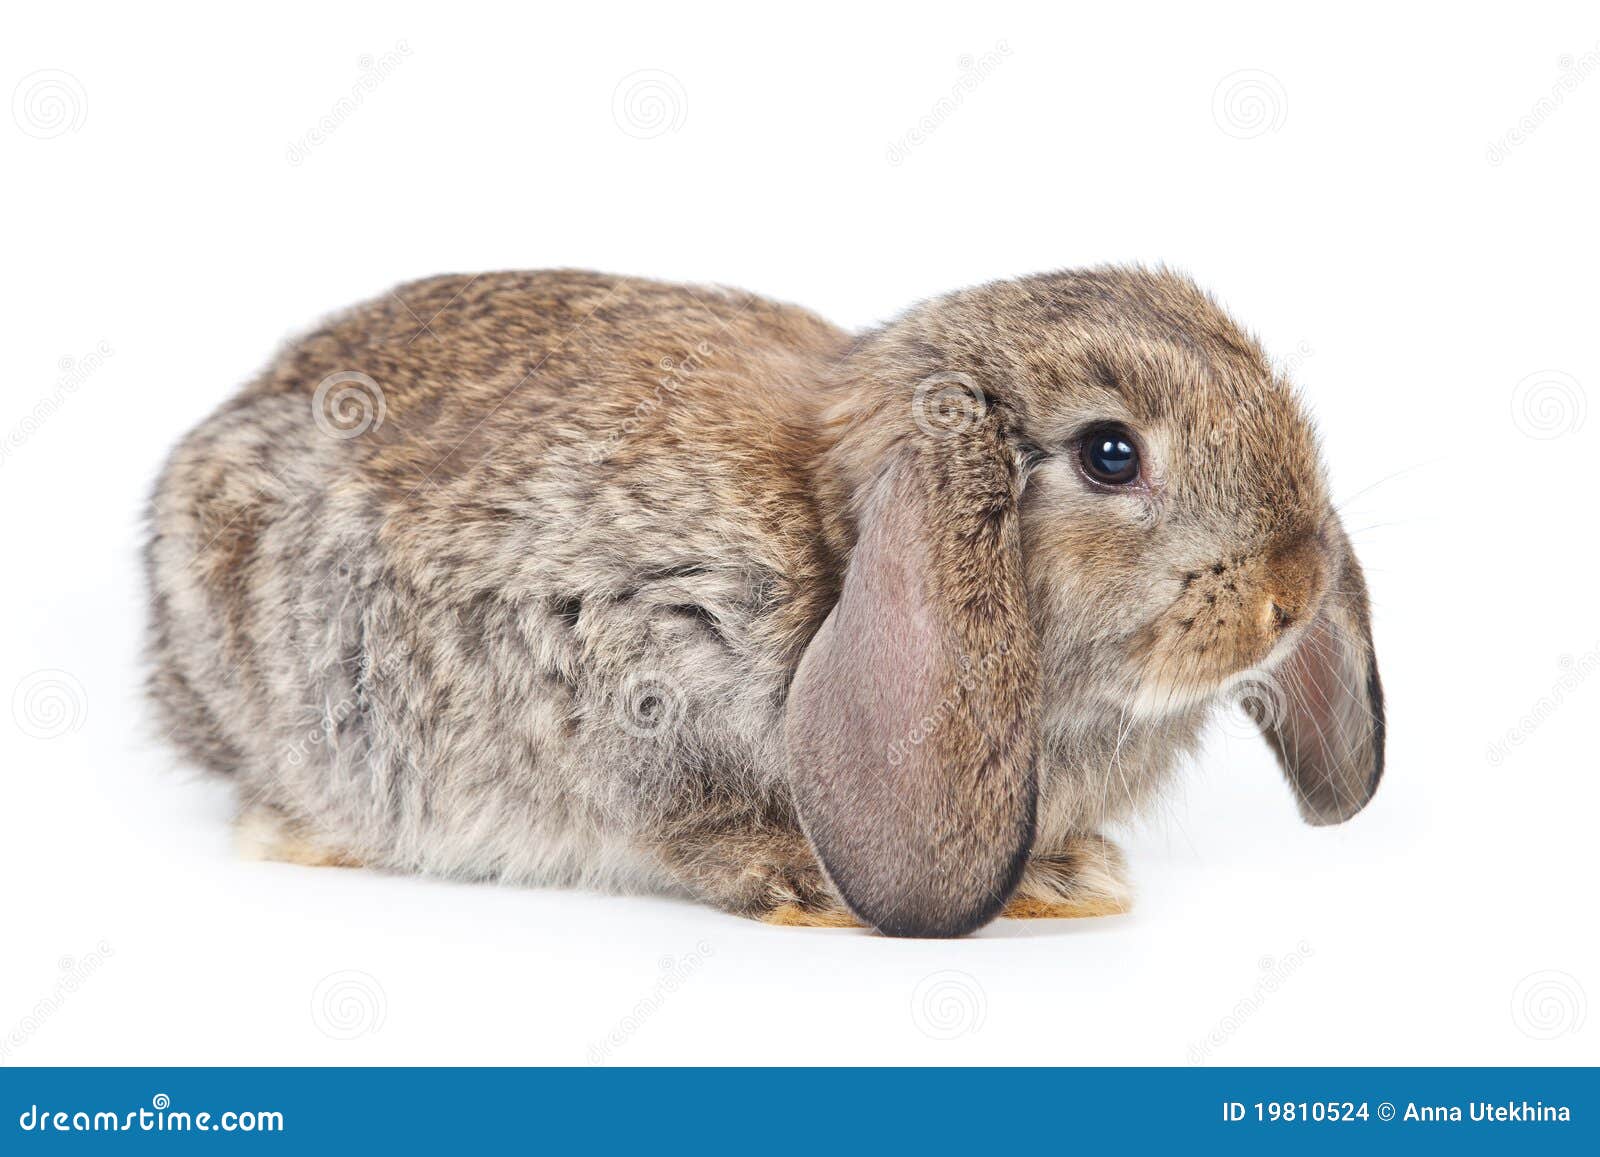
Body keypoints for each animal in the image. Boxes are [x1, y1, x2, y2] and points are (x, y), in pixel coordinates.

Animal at [145, 266, 1384, 938]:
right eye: (1111, 453)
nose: (1291, 590)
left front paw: (1073, 871)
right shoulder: (629, 664)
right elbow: (682, 813)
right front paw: (803, 879)